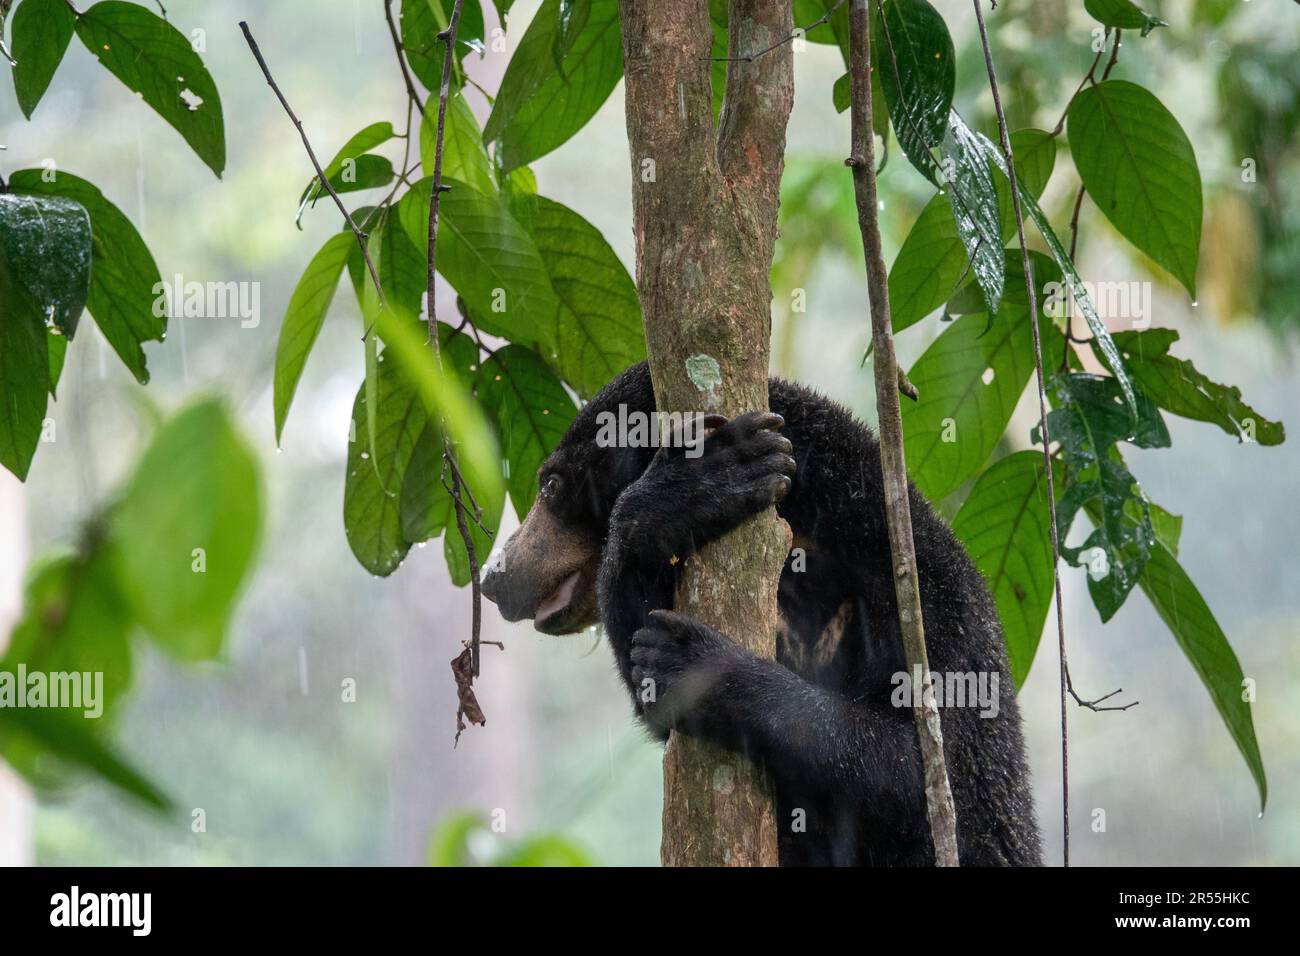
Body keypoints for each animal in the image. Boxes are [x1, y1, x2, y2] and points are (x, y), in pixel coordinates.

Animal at [481, 361, 1042, 866]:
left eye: (551, 485)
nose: (494, 579)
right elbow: (657, 701)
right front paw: (690, 491)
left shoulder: (923, 595)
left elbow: (929, 778)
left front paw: (697, 665)